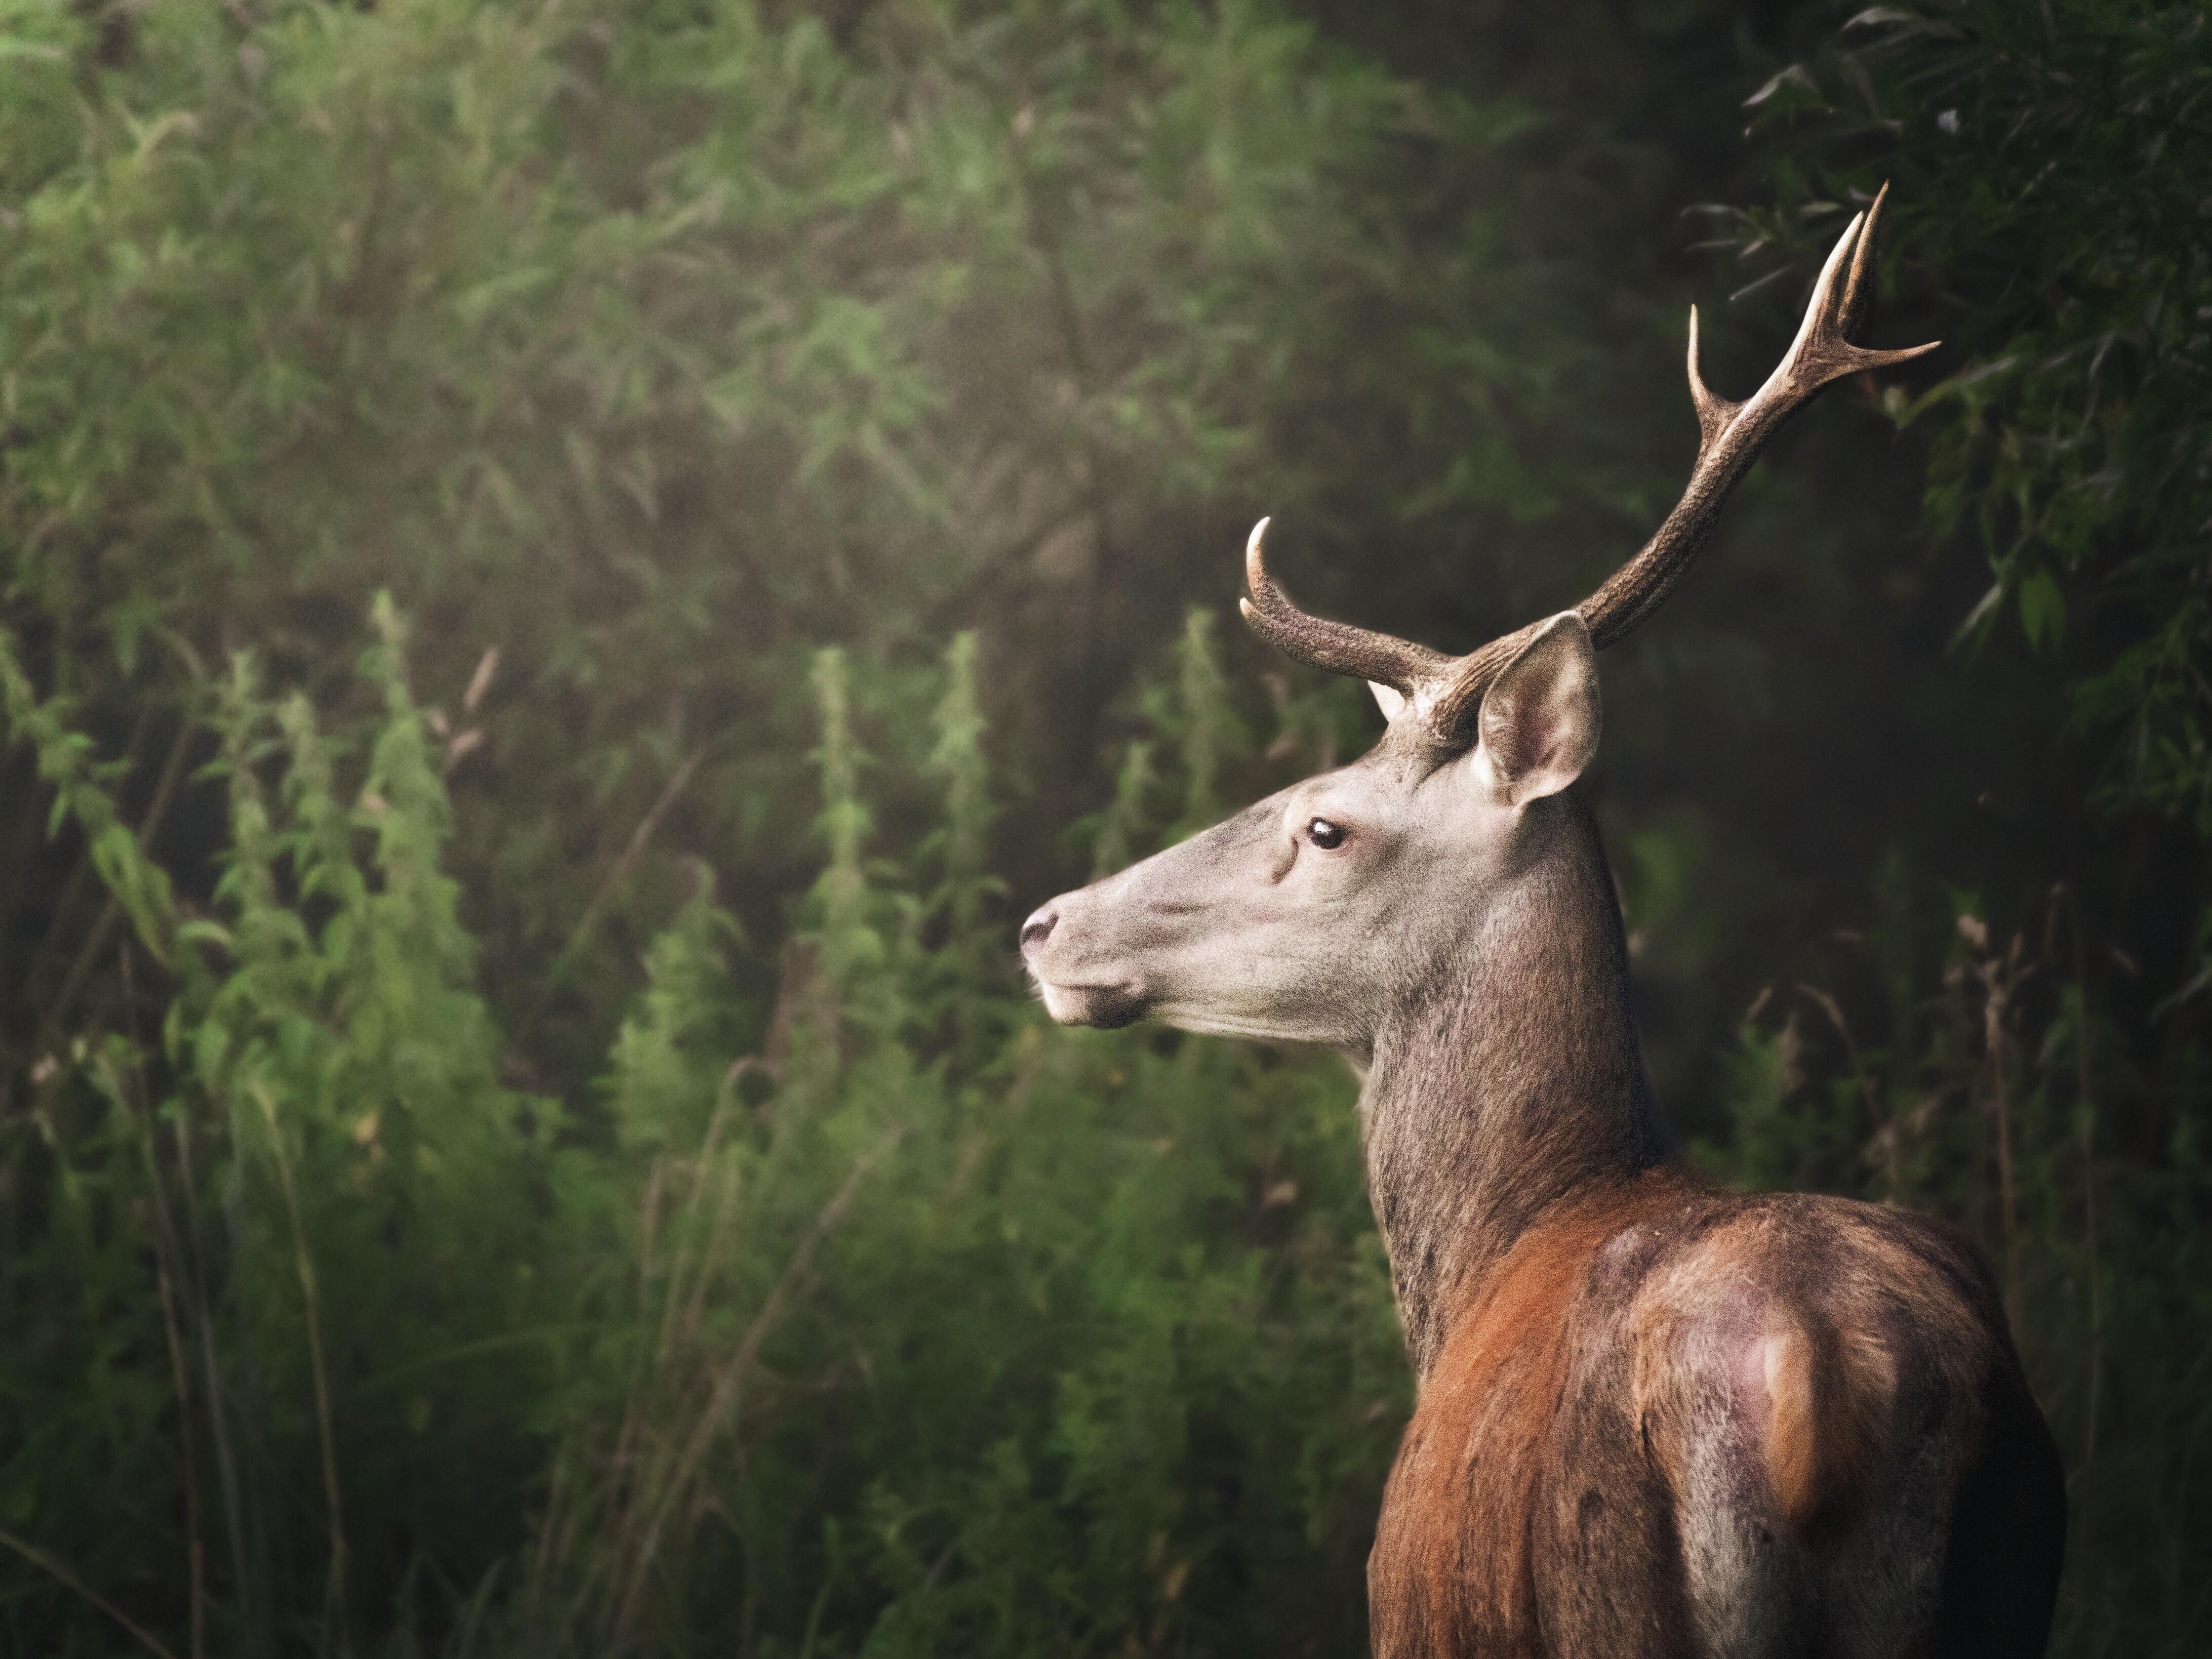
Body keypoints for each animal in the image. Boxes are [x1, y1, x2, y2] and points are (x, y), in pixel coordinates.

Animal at [1018, 188, 2065, 1658]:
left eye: (1326, 824)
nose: (1044, 924)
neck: (1514, 1231)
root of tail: (1824, 1376)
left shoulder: (1412, 1613)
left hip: (1603, 1602)